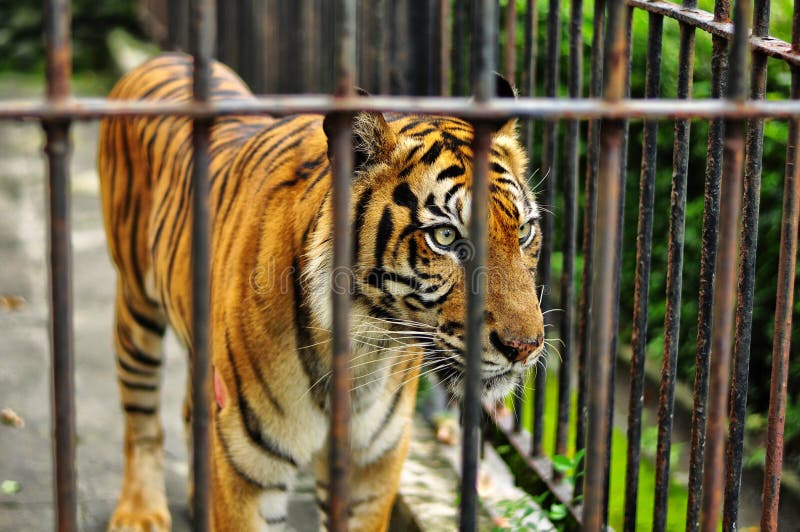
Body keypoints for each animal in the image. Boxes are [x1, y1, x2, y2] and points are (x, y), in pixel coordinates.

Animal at [98, 52, 545, 532]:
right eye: (444, 237)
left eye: (523, 232)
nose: (524, 347)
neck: (365, 346)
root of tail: (169, 56)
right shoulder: (246, 468)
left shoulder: (373, 464)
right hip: (136, 309)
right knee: (142, 417)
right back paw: (139, 512)